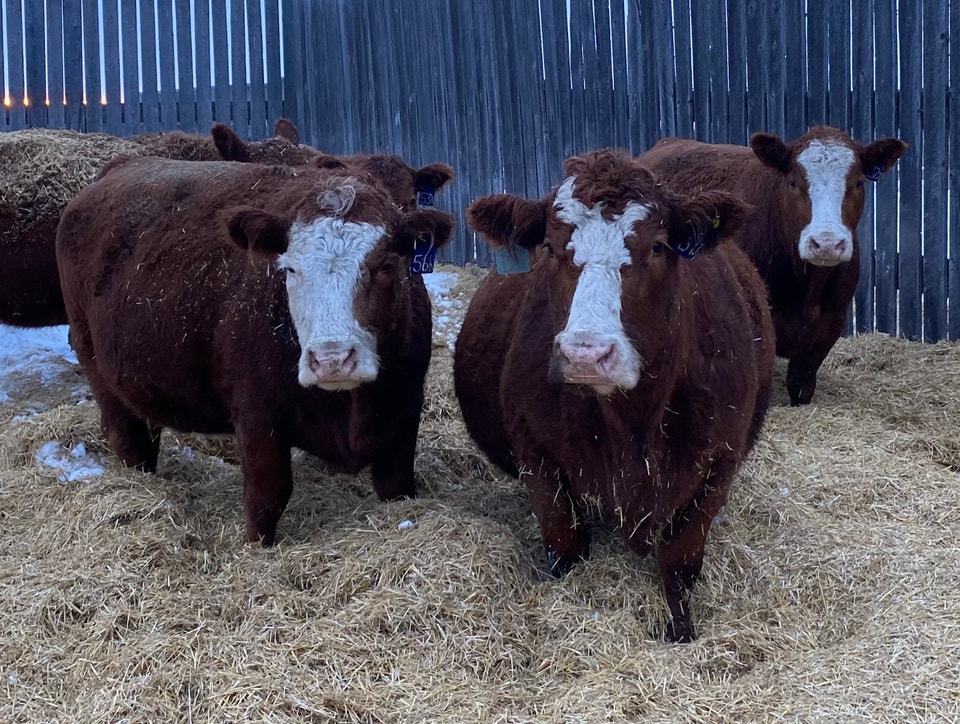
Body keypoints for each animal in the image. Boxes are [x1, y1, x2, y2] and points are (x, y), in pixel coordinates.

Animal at [56, 157, 454, 545]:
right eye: (290, 269)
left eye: (386, 266)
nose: (332, 360)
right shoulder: (257, 415)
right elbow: (267, 494)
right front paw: (255, 548)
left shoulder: (403, 411)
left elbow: (397, 487)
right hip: (99, 371)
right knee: (129, 439)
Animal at [454, 149, 775, 642]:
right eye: (550, 247)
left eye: (658, 246)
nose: (586, 352)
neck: (635, 423)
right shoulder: (538, 460)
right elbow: (565, 549)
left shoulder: (717, 466)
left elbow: (680, 563)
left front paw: (681, 633)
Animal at [637, 126, 907, 405]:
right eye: (793, 183)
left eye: (857, 183)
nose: (826, 243)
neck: (807, 291)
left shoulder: (828, 327)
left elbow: (801, 388)